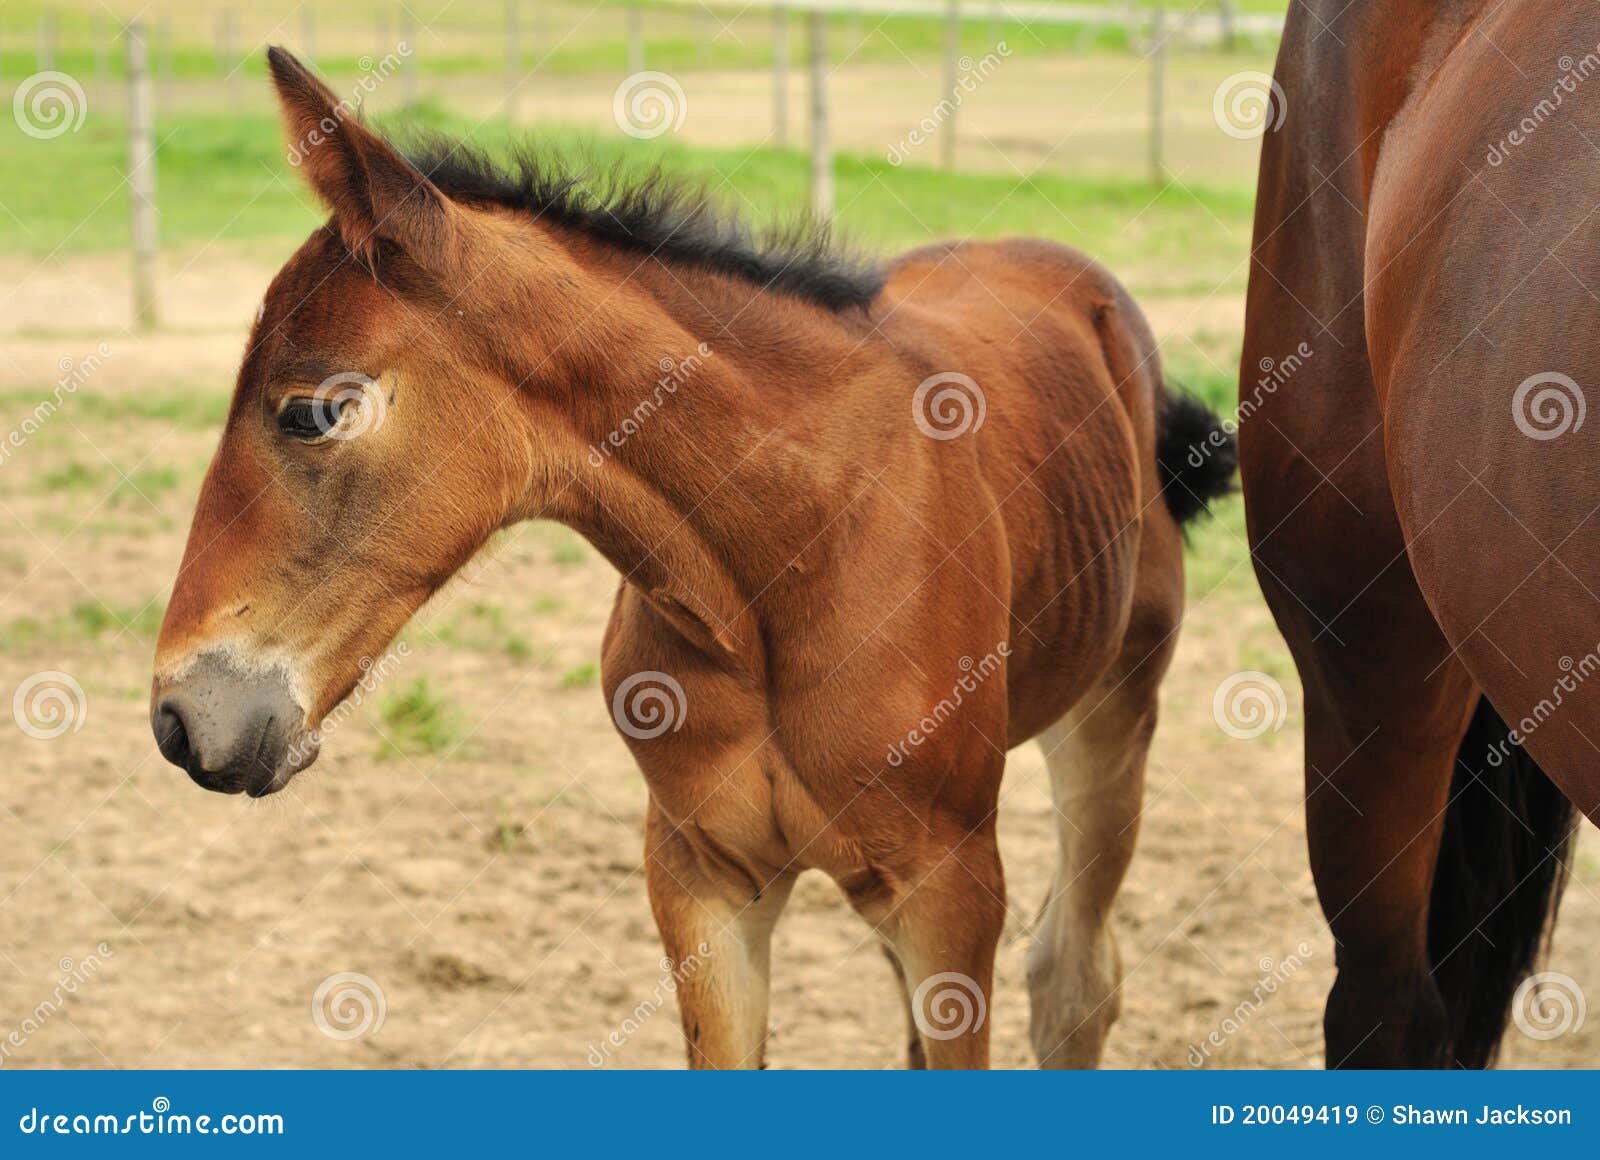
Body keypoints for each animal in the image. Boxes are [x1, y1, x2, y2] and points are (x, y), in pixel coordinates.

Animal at [149, 47, 1233, 1069]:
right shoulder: (702, 878)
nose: (179, 719)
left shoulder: (951, 886)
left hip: (1113, 713)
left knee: (1074, 978)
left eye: (310, 410)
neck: (781, 566)